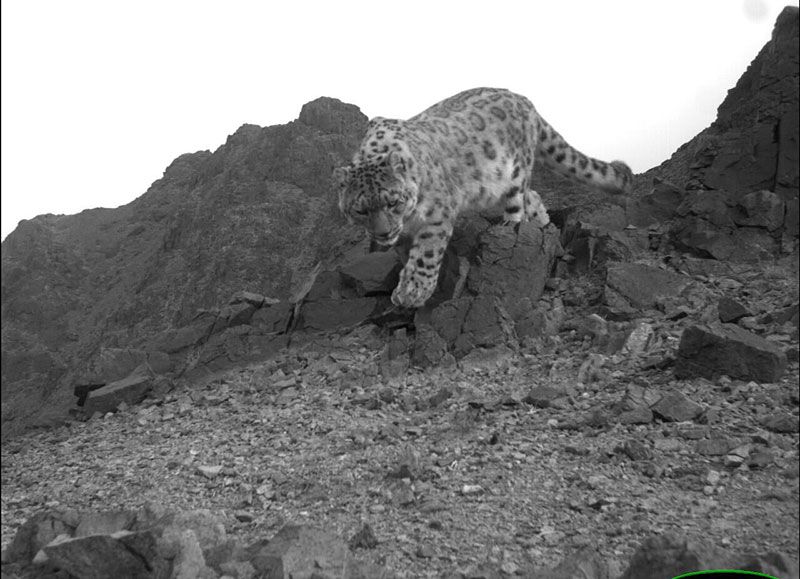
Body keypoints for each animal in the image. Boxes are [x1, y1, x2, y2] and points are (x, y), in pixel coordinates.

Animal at [333, 87, 632, 308]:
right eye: (361, 210)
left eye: (393, 202)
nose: (383, 233)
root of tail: (524, 100)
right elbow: (406, 251)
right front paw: (406, 280)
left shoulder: (437, 213)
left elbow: (426, 253)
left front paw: (414, 290)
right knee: (533, 196)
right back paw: (544, 224)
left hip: (513, 173)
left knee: (520, 200)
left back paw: (514, 227)